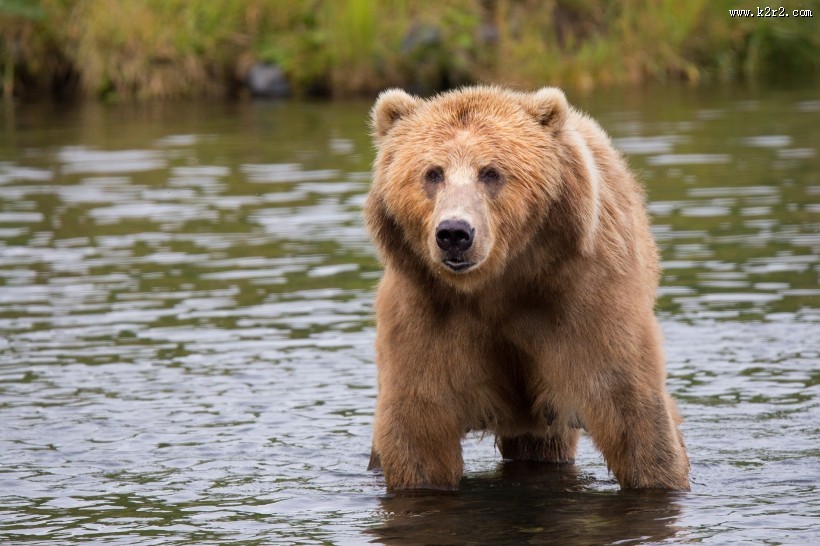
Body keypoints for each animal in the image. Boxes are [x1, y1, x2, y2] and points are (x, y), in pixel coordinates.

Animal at [363, 85, 690, 491]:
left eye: (491, 172)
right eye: (432, 173)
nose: (454, 233)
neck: (498, 284)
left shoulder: (584, 300)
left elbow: (632, 409)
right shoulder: (427, 313)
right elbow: (418, 428)